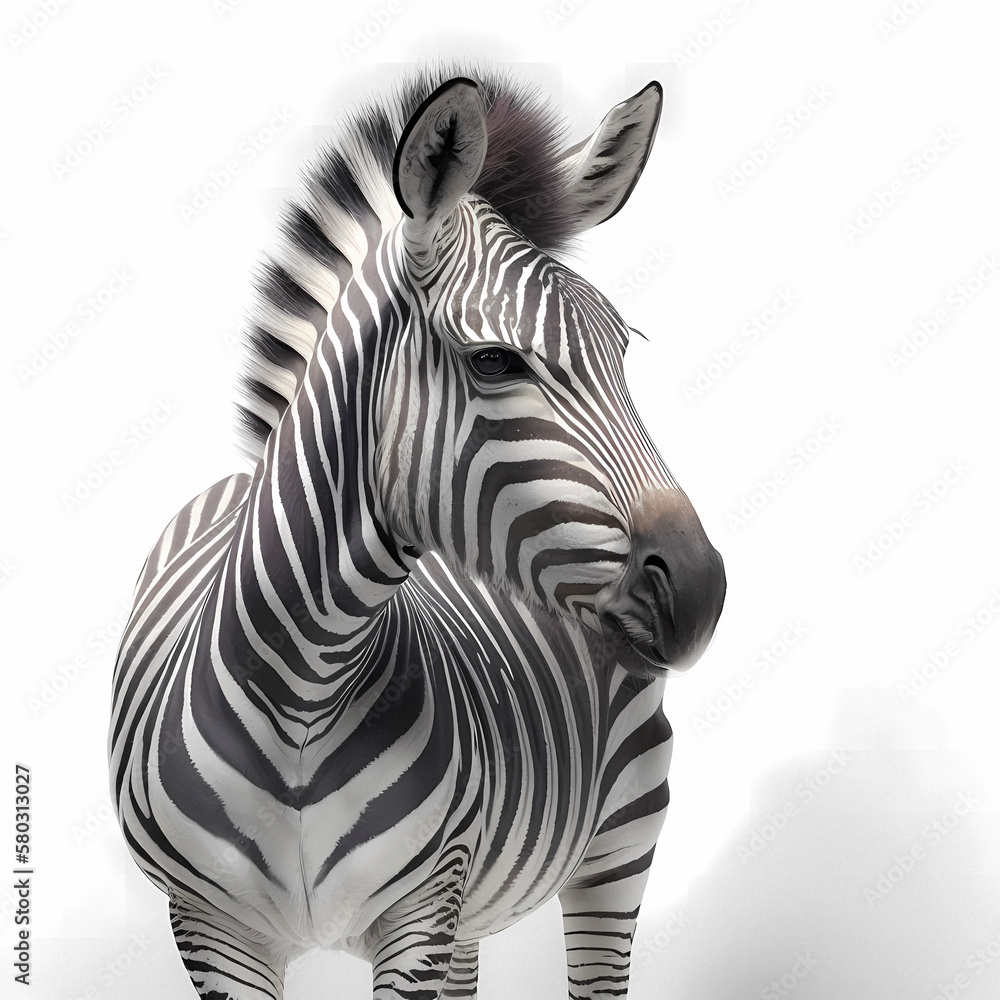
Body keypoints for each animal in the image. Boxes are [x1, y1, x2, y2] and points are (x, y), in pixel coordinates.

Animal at [110, 66, 726, 999]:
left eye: (622, 350)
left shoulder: (420, 914)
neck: (304, 686)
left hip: (619, 846)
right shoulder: (212, 931)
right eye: (494, 361)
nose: (699, 589)